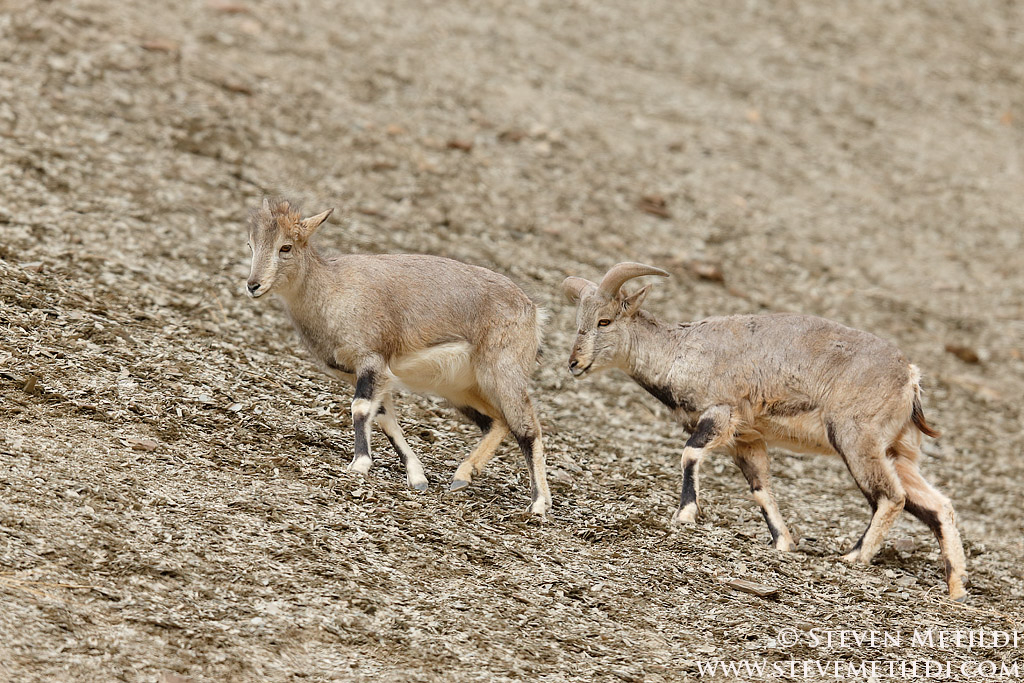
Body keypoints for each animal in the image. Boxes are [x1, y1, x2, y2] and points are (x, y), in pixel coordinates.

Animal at [245, 198, 551, 515]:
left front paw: (359, 465)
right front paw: (417, 478)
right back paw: (462, 476)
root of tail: (533, 312)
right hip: (461, 388)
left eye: (286, 247)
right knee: (498, 422)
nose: (253, 285)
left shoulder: (371, 361)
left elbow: (360, 409)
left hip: (502, 373)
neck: (333, 292)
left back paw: (538, 503)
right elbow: (384, 419)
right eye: (251, 244)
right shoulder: (369, 375)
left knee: (528, 428)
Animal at [562, 262, 968, 600]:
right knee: (938, 506)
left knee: (891, 497)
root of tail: (910, 378)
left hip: (856, 440)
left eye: (604, 321)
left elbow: (690, 453)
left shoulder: (721, 412)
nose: (574, 363)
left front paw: (685, 515)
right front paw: (783, 543)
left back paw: (853, 557)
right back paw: (956, 587)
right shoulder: (747, 438)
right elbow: (760, 489)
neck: (680, 352)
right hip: (898, 451)